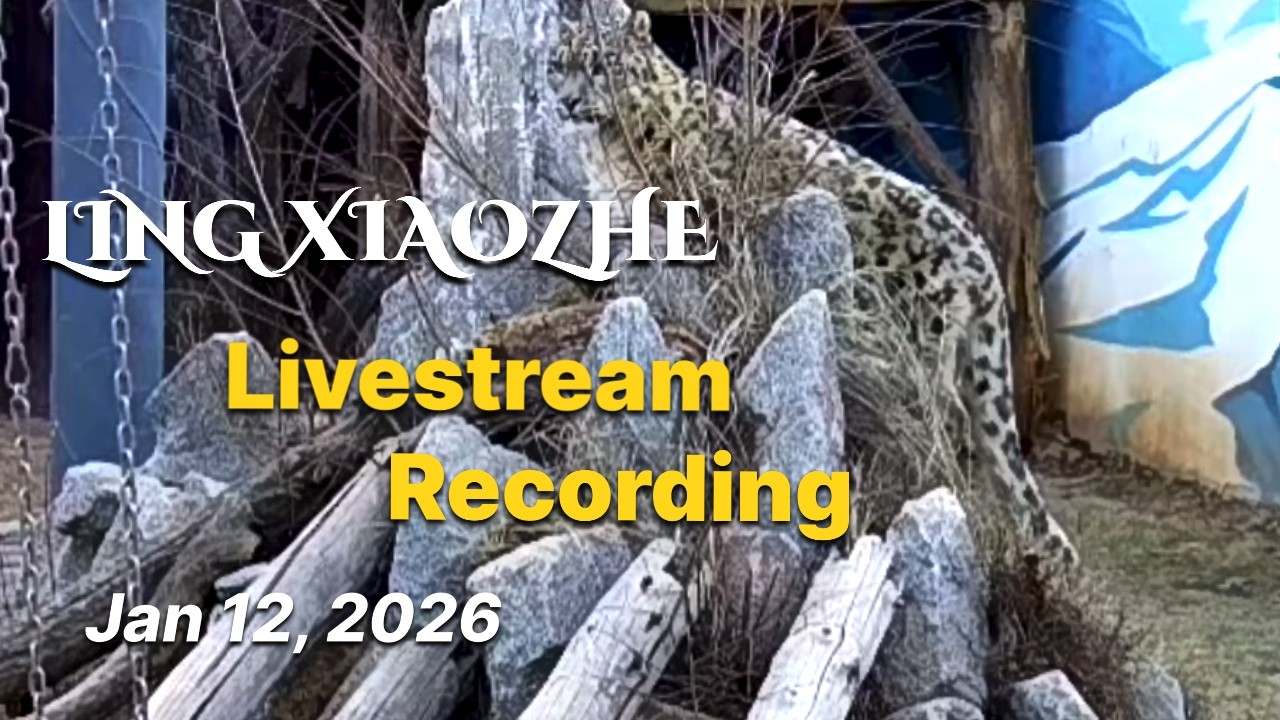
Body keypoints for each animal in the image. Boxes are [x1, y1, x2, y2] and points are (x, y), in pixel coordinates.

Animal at [549, 6, 1079, 576]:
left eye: (602, 65)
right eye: (561, 63)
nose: (569, 101)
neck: (610, 143)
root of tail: (979, 252)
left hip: (918, 343)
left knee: (949, 416)